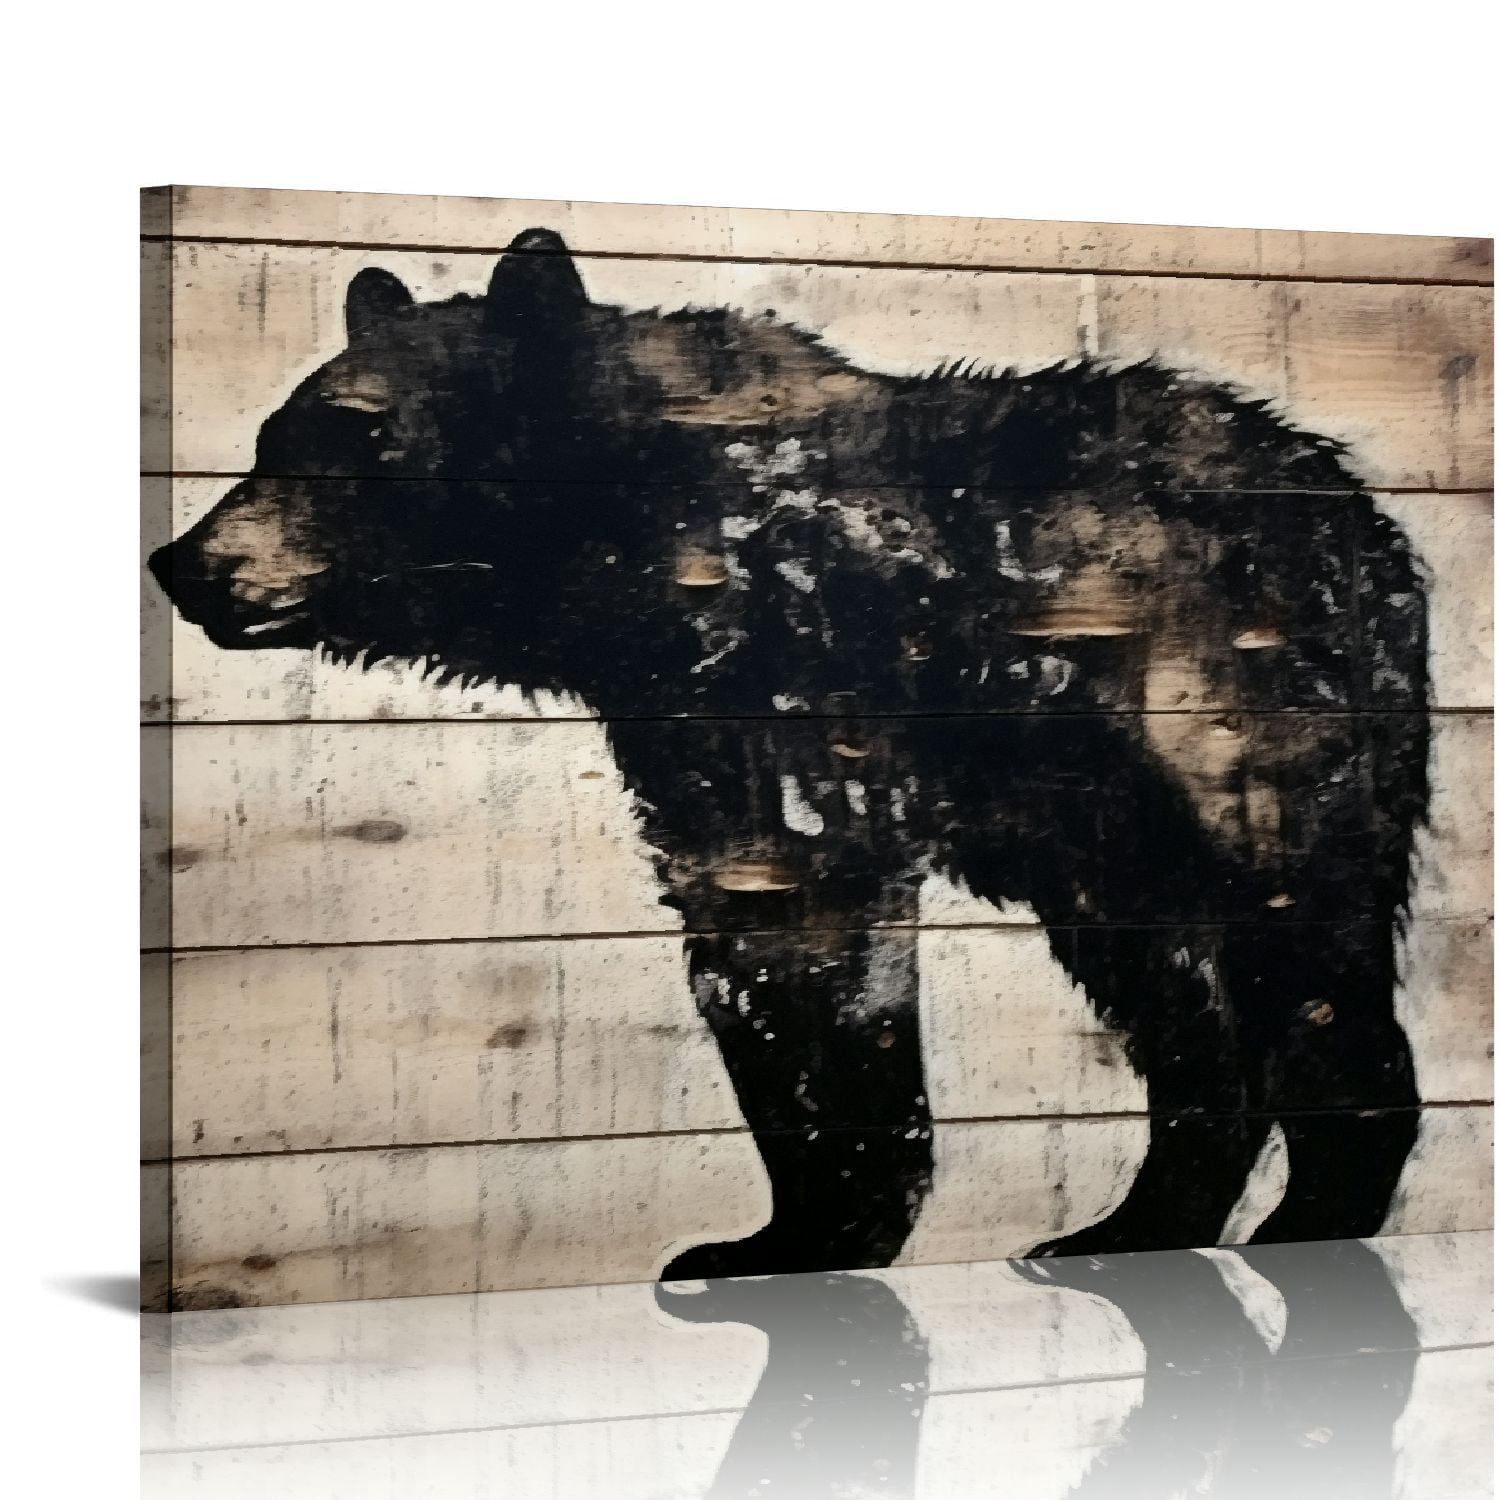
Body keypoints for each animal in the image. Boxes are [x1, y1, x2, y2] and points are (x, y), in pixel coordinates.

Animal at [149, 227, 1430, 1278]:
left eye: (359, 433)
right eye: (269, 436)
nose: (183, 563)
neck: (646, 555)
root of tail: (1361, 512)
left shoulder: (801, 693)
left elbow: (815, 927)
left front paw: (822, 1226)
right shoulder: (682, 727)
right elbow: (744, 935)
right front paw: (770, 1235)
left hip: (1234, 721)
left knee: (1304, 946)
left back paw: (1311, 1220)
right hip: (1096, 831)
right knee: (1175, 995)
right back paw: (1126, 1228)